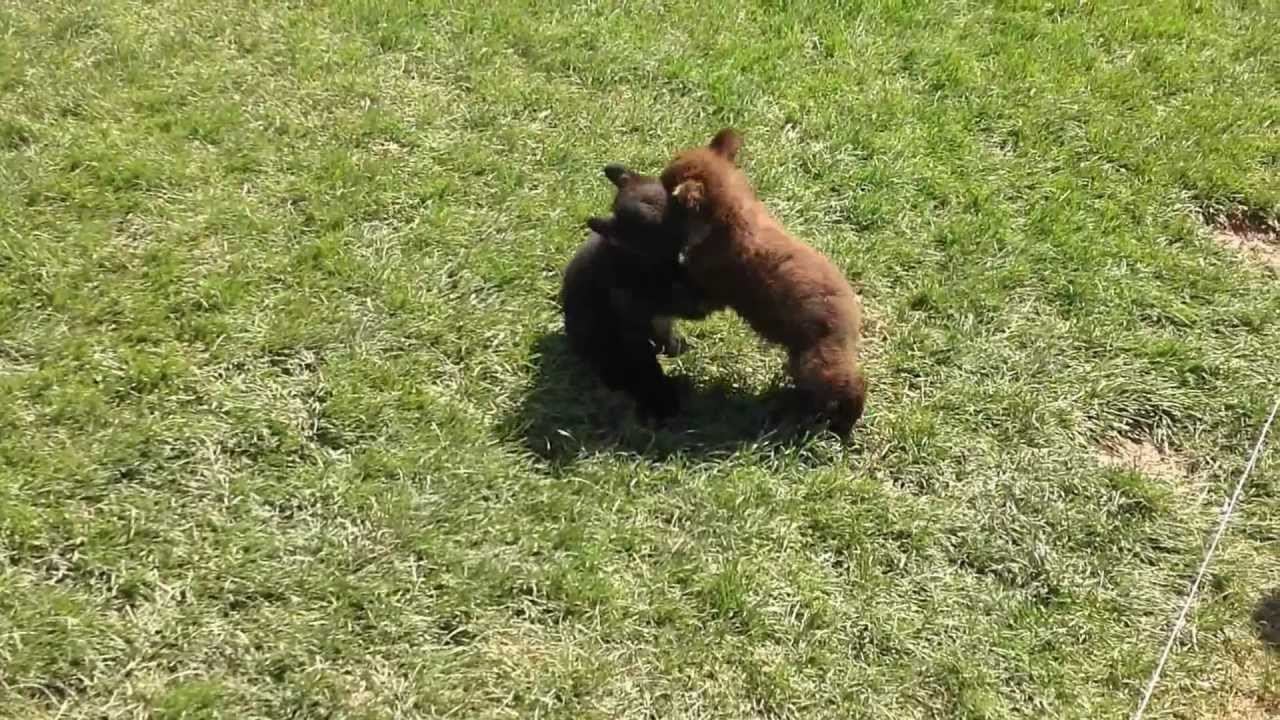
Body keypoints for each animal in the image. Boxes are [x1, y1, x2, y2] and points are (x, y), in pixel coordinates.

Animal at [659, 129, 867, 435]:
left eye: (667, 182)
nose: (654, 180)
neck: (728, 214)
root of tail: (851, 313)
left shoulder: (712, 277)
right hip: (801, 354)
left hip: (818, 354)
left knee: (845, 383)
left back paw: (840, 423)